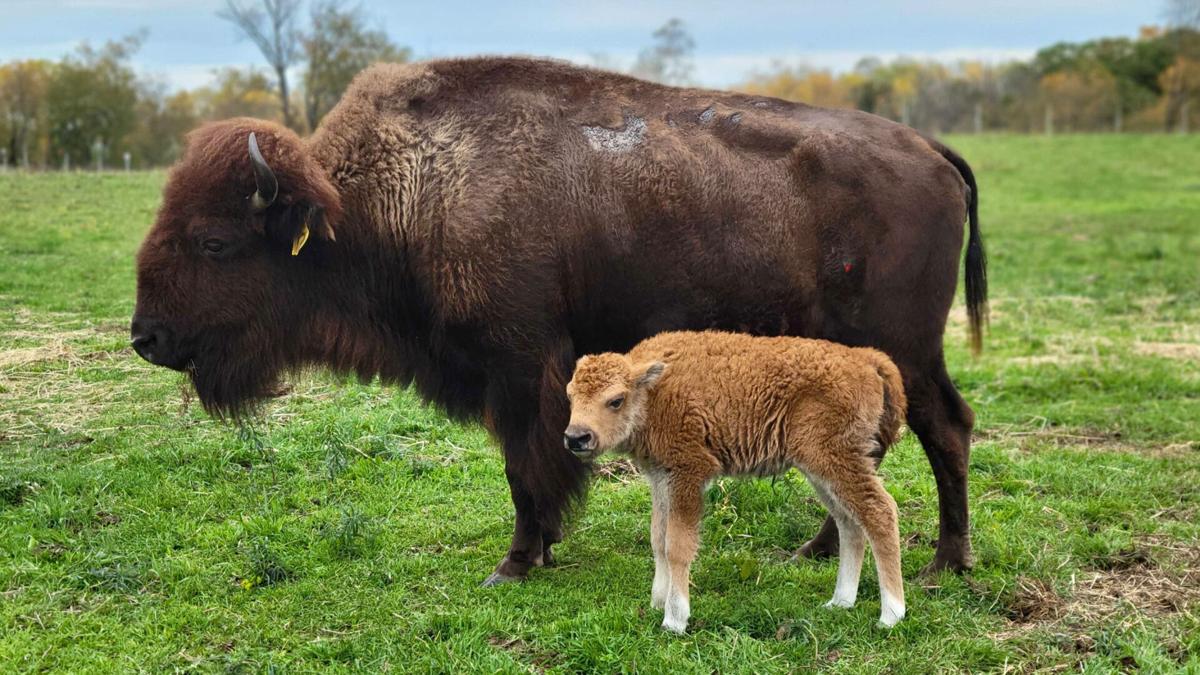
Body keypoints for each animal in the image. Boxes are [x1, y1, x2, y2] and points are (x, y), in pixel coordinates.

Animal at [132, 57, 986, 584]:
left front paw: (515, 560)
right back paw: (819, 550)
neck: (407, 189)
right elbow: (532, 463)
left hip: (904, 347)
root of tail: (930, 149)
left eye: (213, 241)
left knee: (943, 428)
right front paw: (537, 550)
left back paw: (945, 561)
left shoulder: (518, 367)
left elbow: (526, 464)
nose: (147, 337)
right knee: (870, 445)